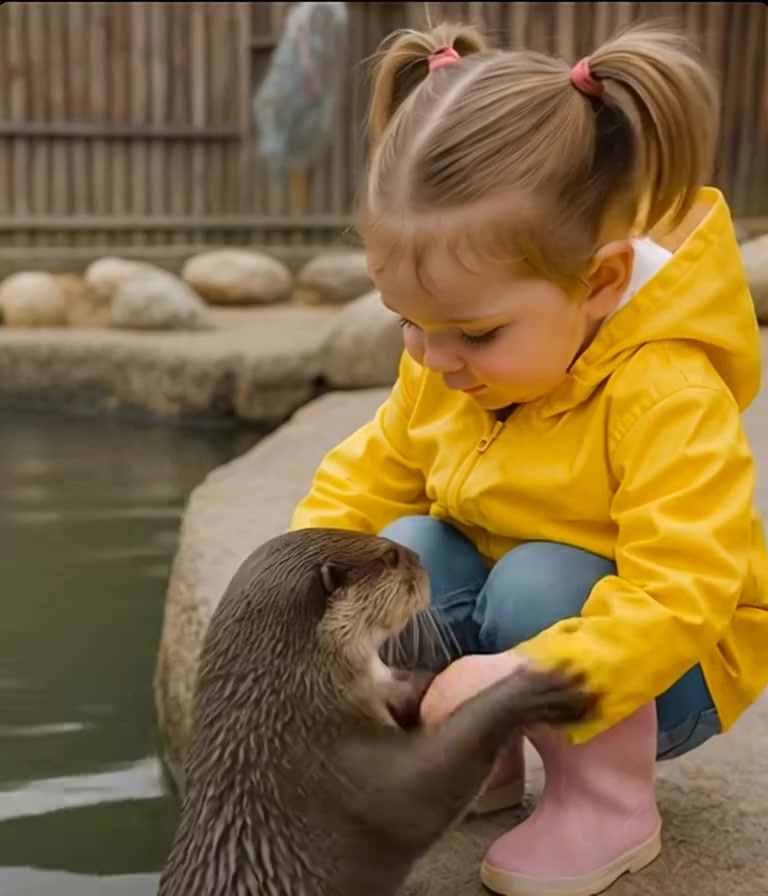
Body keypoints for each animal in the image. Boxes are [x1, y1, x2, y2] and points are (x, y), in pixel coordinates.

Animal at [157, 528, 595, 896]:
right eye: (390, 557)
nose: (419, 558)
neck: (287, 710)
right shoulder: (337, 776)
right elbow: (433, 779)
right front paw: (531, 689)